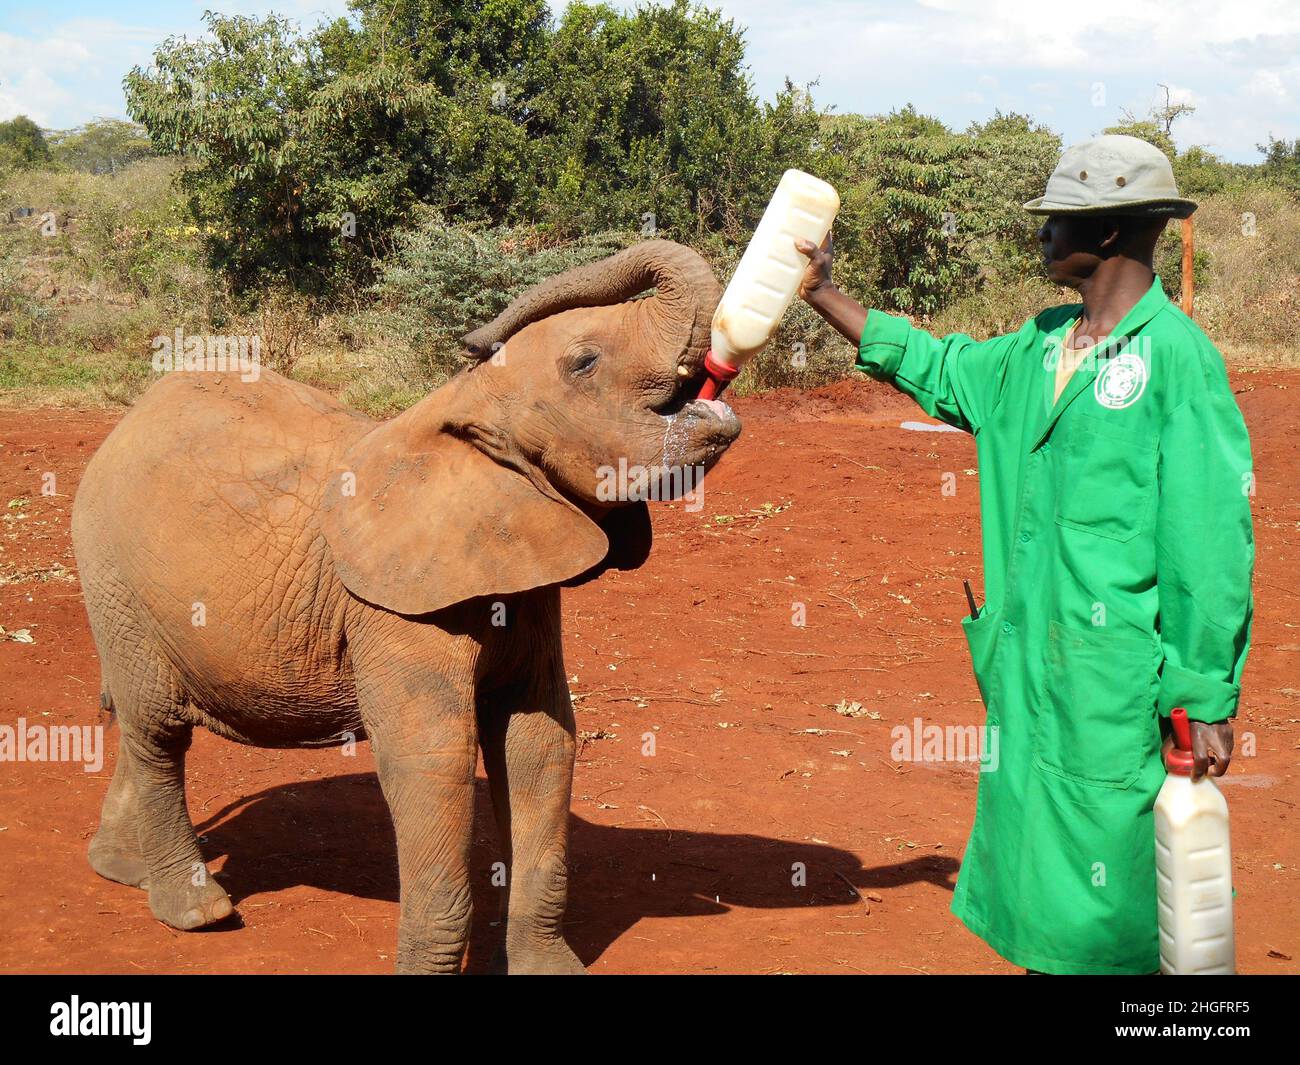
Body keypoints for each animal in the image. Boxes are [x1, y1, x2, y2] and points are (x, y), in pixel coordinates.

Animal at [71, 239, 740, 974]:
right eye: (585, 363)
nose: (473, 338)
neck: (465, 412)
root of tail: (128, 420)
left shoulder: (525, 574)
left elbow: (539, 743)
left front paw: (550, 969)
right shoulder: (394, 612)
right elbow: (431, 759)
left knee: (140, 724)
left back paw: (120, 869)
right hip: (111, 574)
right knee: (158, 730)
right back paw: (198, 913)